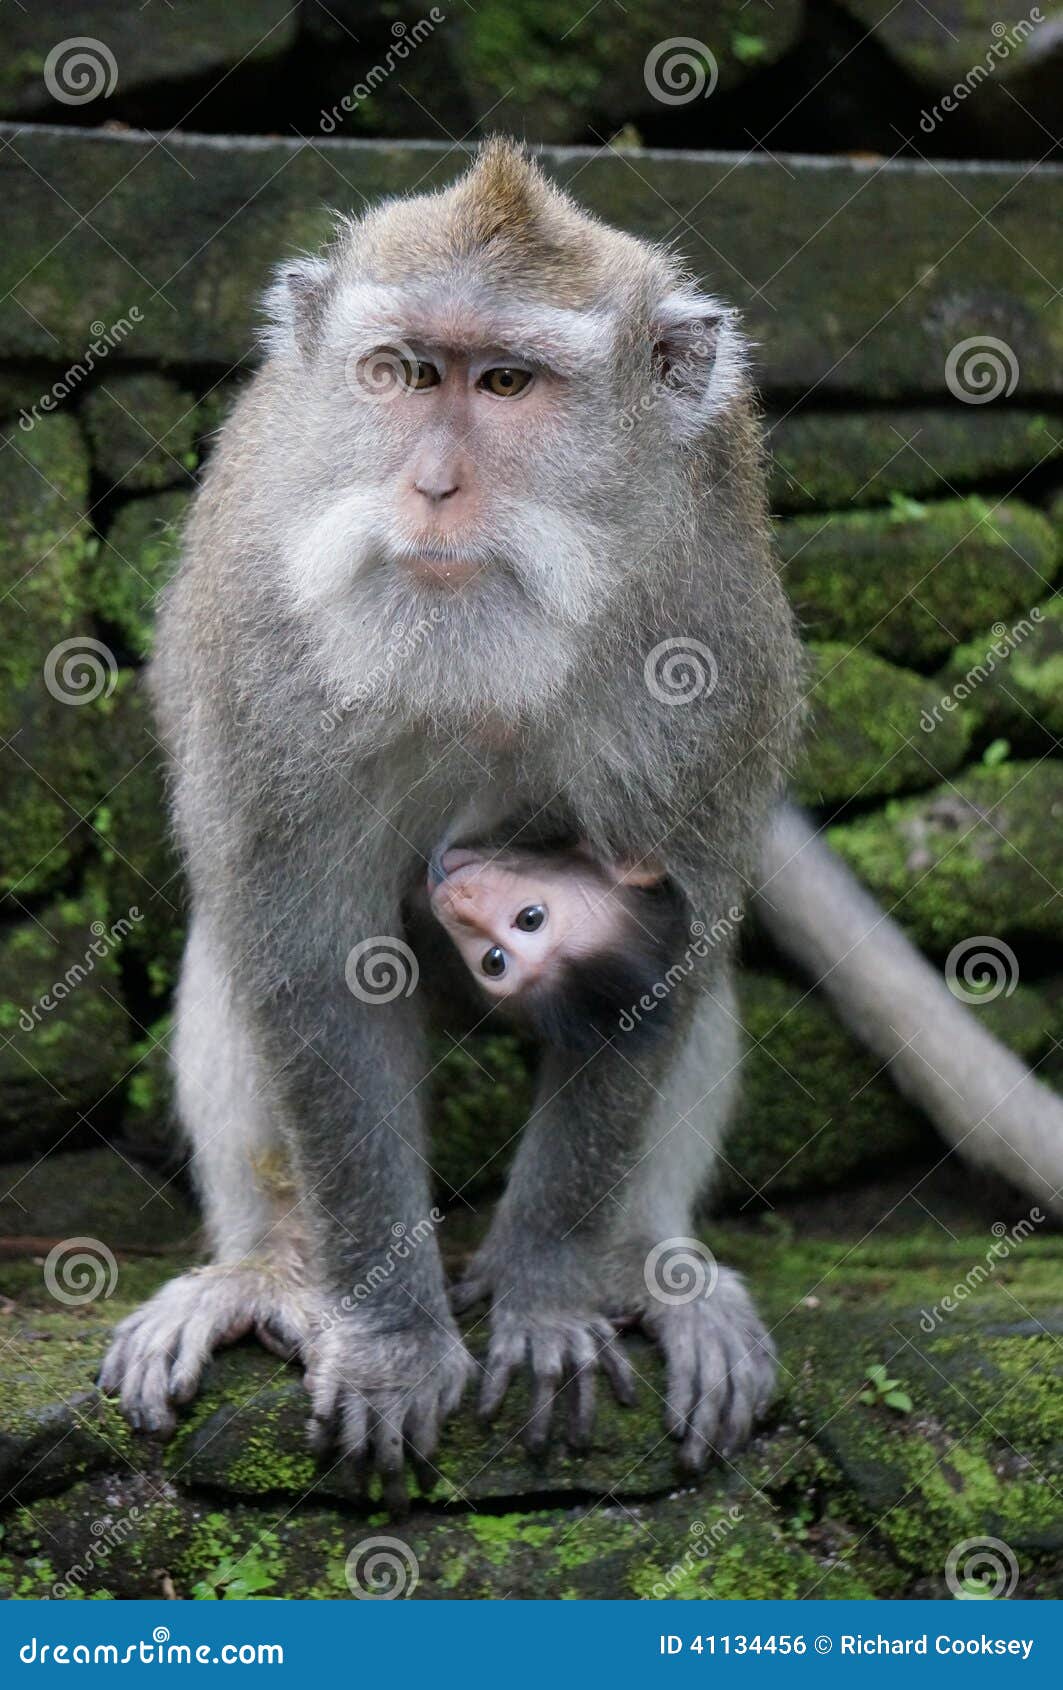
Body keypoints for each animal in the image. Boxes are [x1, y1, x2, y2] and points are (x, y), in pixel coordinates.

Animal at [100, 139, 1063, 1493]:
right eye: (403, 374)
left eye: (506, 383)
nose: (431, 483)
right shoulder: (263, 644)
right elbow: (313, 962)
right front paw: (390, 1336)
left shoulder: (707, 642)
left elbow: (665, 950)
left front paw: (551, 1292)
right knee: (235, 943)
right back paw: (269, 1268)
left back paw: (647, 1265)